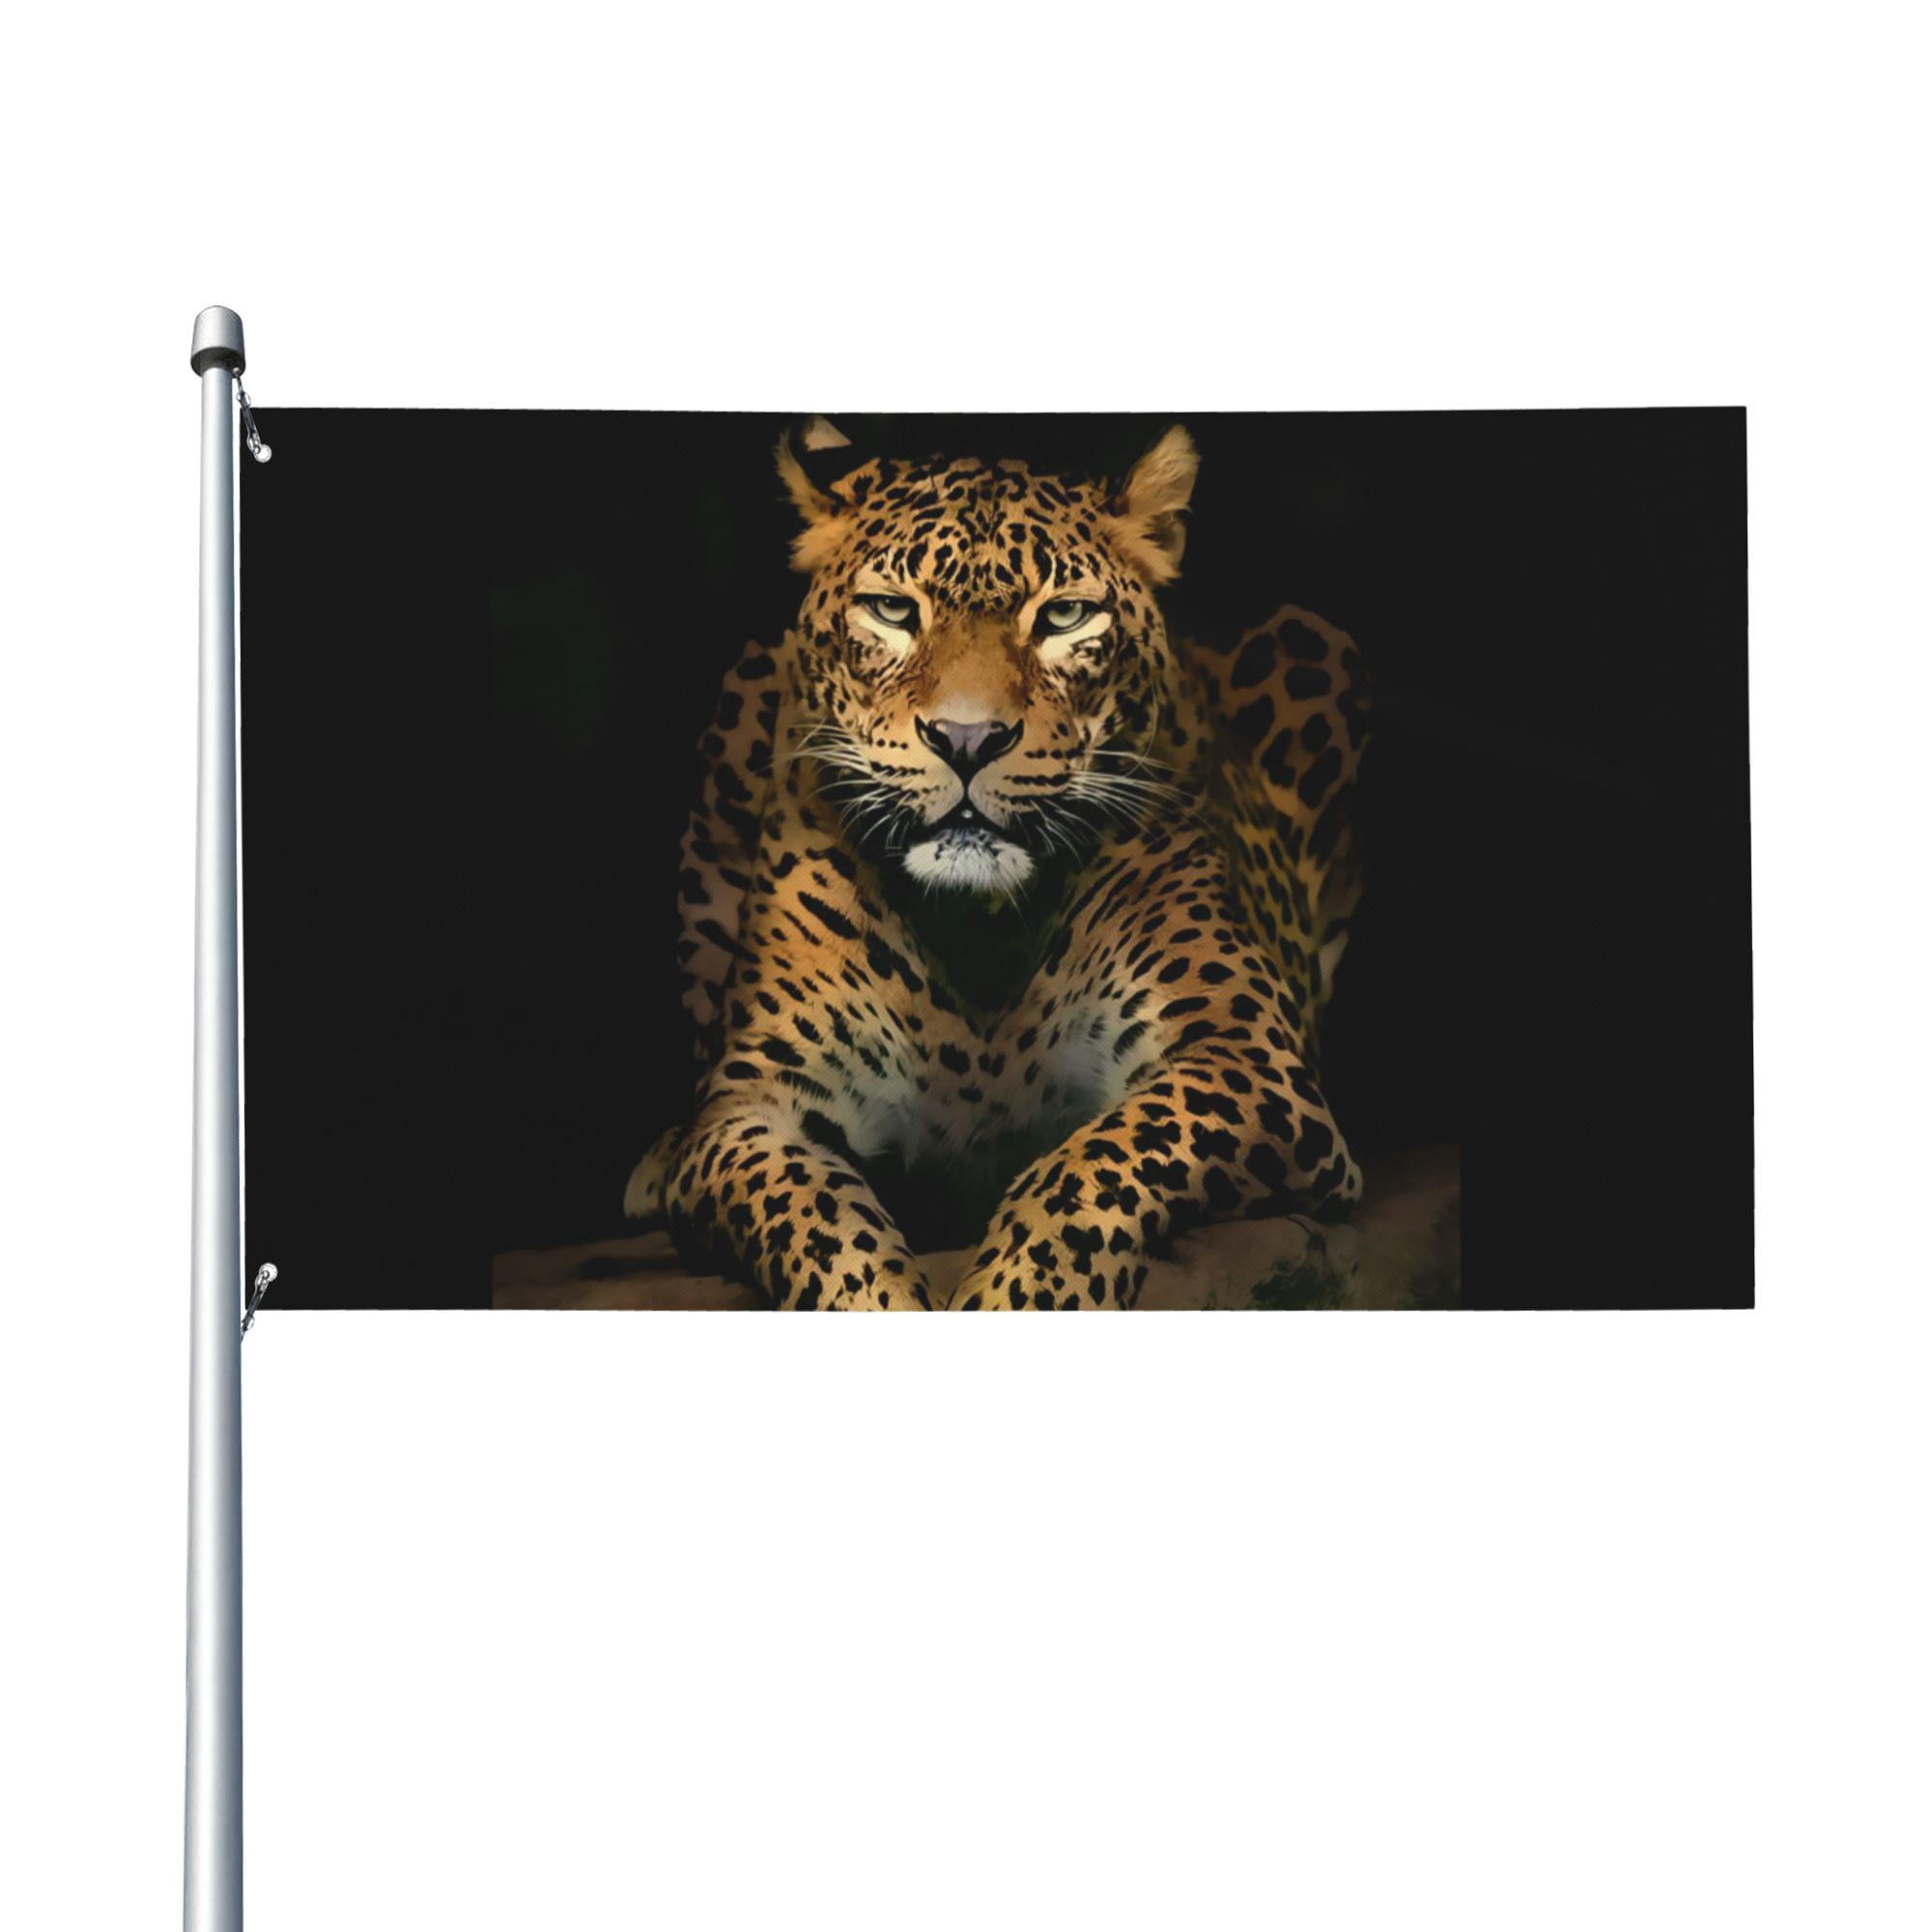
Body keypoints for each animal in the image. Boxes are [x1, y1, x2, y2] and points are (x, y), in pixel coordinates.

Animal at [622, 421, 1368, 1310]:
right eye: (893, 610)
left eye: (1065, 616)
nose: (967, 739)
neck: (976, 930)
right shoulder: (753, 1107)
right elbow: (815, 1216)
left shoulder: (1245, 1057)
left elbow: (1091, 1167)